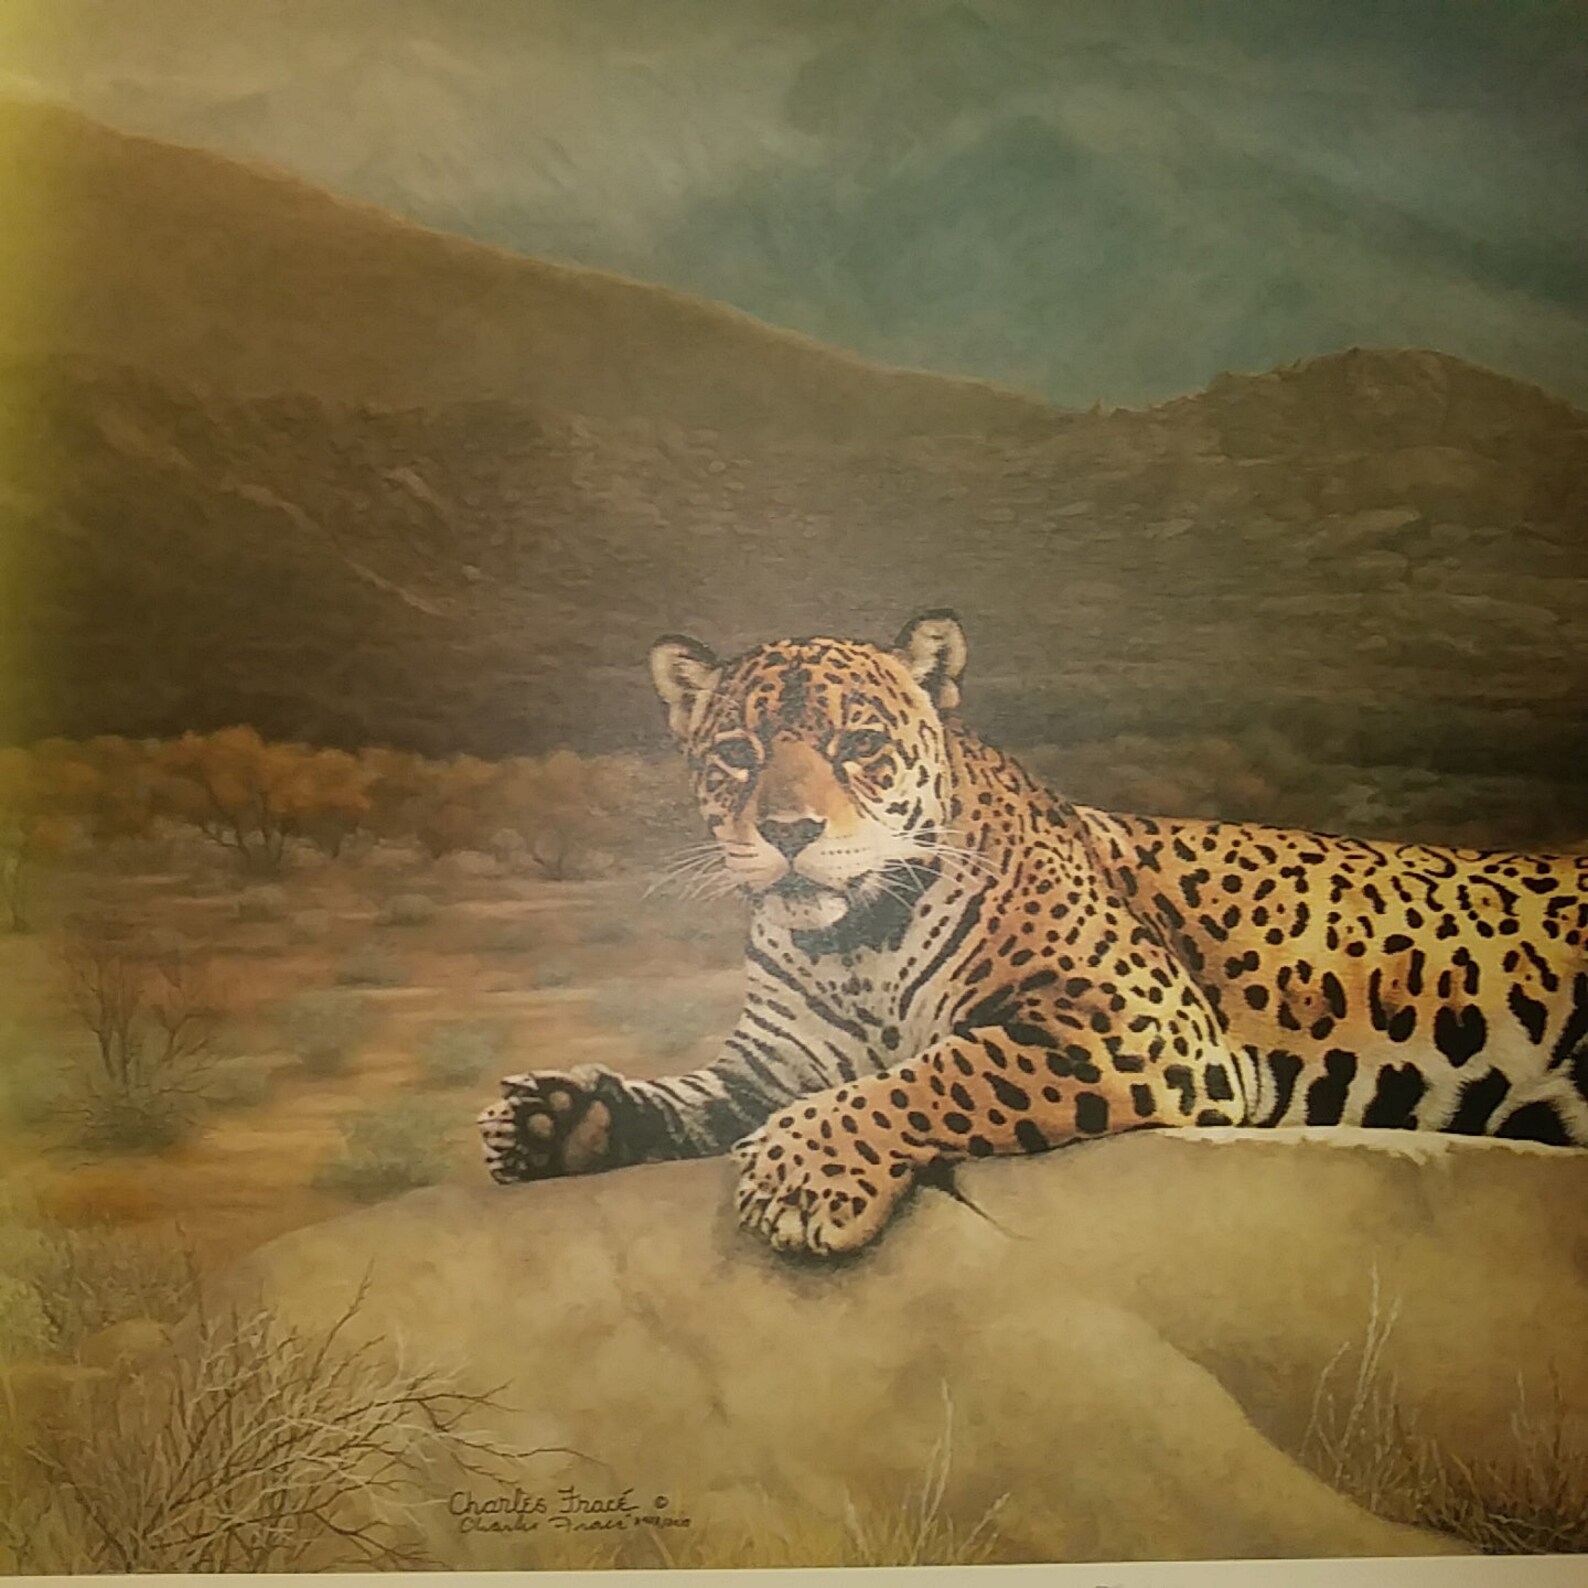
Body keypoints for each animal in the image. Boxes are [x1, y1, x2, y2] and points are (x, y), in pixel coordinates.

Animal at [478, 611, 1588, 1256]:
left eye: (859, 745)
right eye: (740, 755)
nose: (788, 832)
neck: (850, 949)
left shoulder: (1134, 1019)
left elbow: (945, 1072)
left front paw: (801, 1175)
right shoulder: (770, 1066)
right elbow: (683, 1099)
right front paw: (550, 1119)